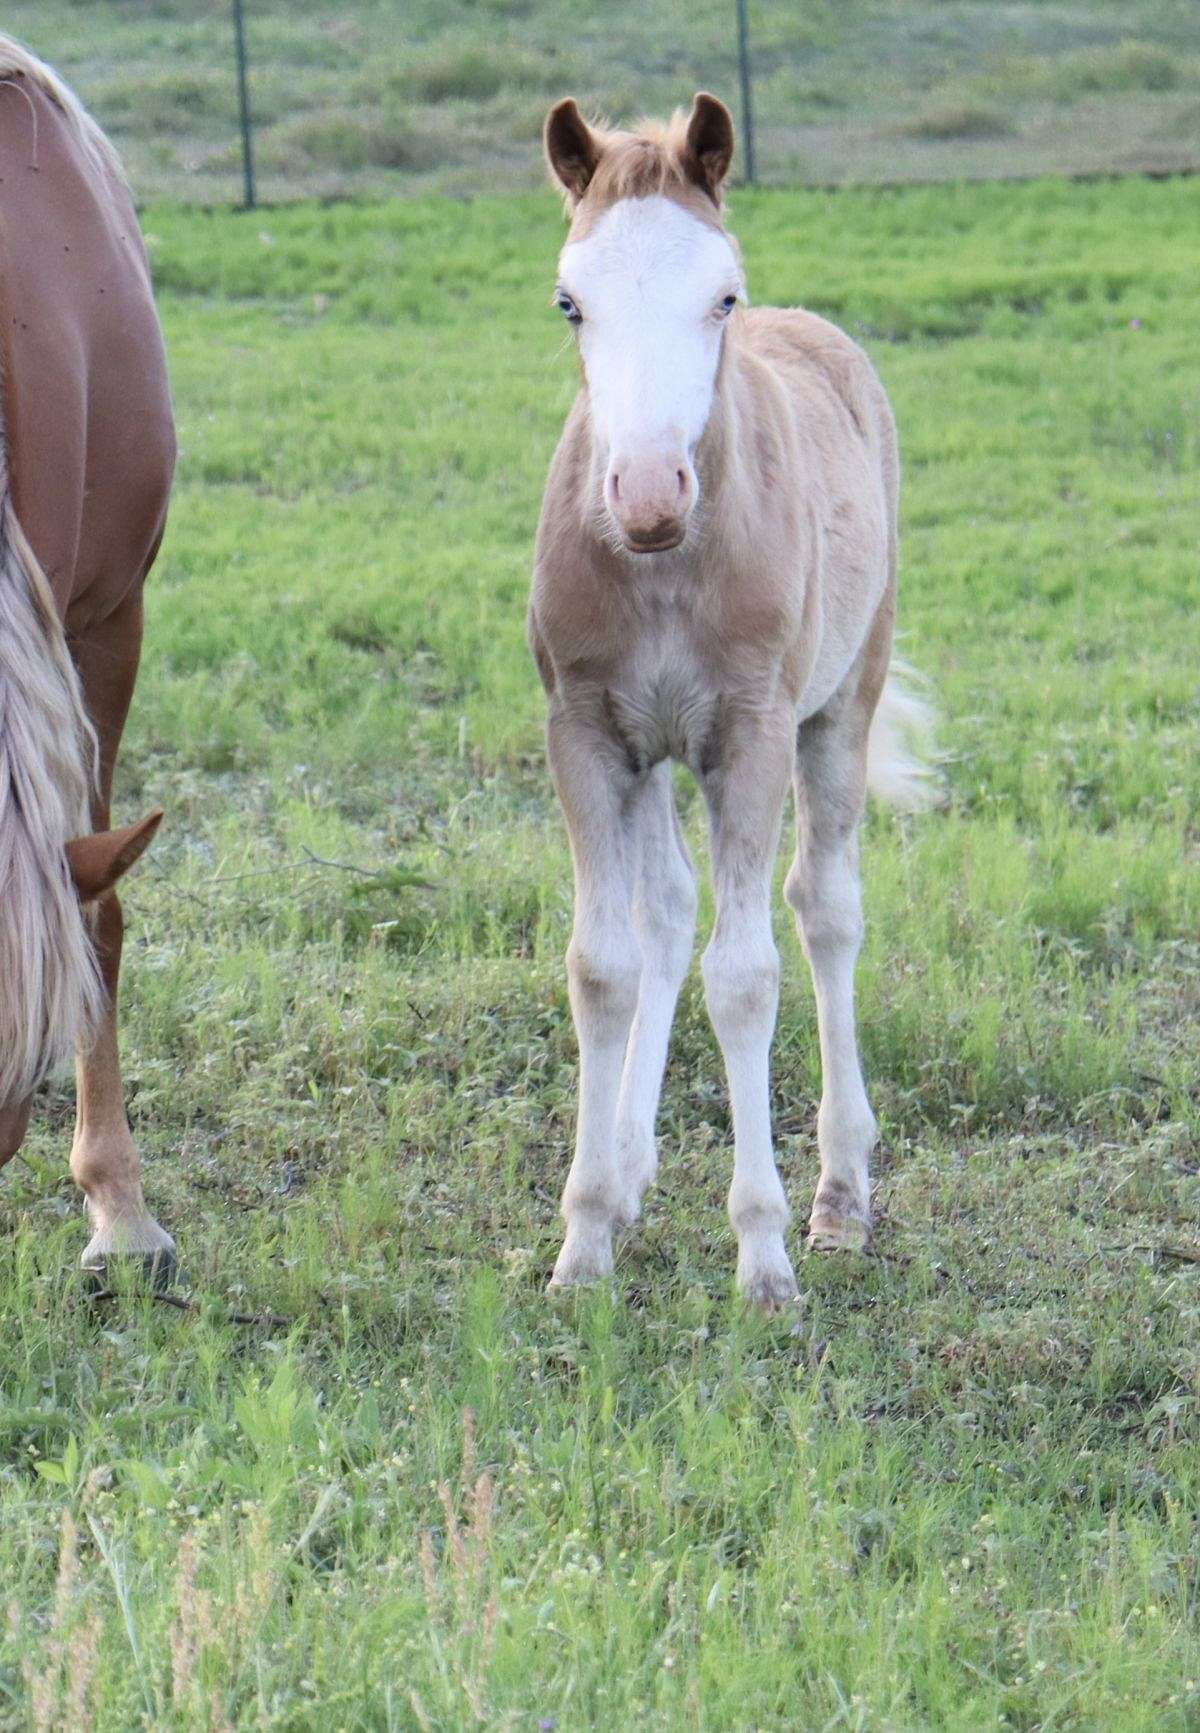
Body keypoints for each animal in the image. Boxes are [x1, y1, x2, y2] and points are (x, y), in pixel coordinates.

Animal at [528, 93, 935, 1306]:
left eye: (722, 294)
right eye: (571, 302)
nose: (647, 494)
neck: (664, 567)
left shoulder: (748, 736)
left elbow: (748, 977)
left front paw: (763, 1253)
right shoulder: (588, 736)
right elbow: (604, 964)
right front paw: (583, 1239)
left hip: (840, 704)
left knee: (826, 910)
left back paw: (841, 1193)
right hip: (657, 752)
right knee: (664, 914)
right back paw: (629, 1168)